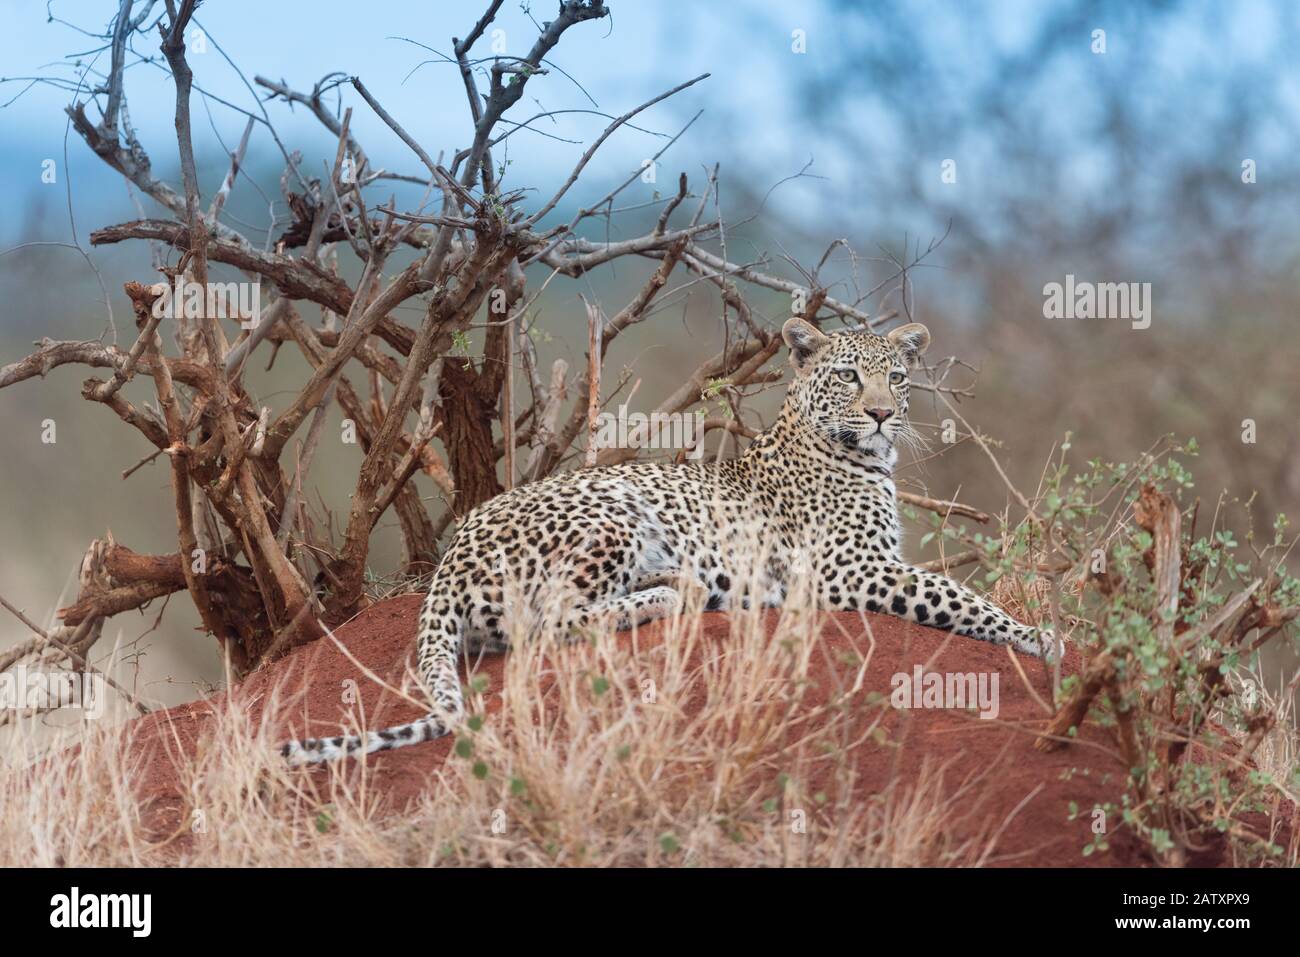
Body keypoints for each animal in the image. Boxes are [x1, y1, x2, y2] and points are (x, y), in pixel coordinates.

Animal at [281, 316, 1055, 764]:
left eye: (896, 376)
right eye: (846, 375)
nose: (883, 414)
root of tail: (449, 561)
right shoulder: (850, 569)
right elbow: (956, 593)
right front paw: (1041, 637)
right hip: (613, 512)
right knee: (548, 623)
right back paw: (670, 593)